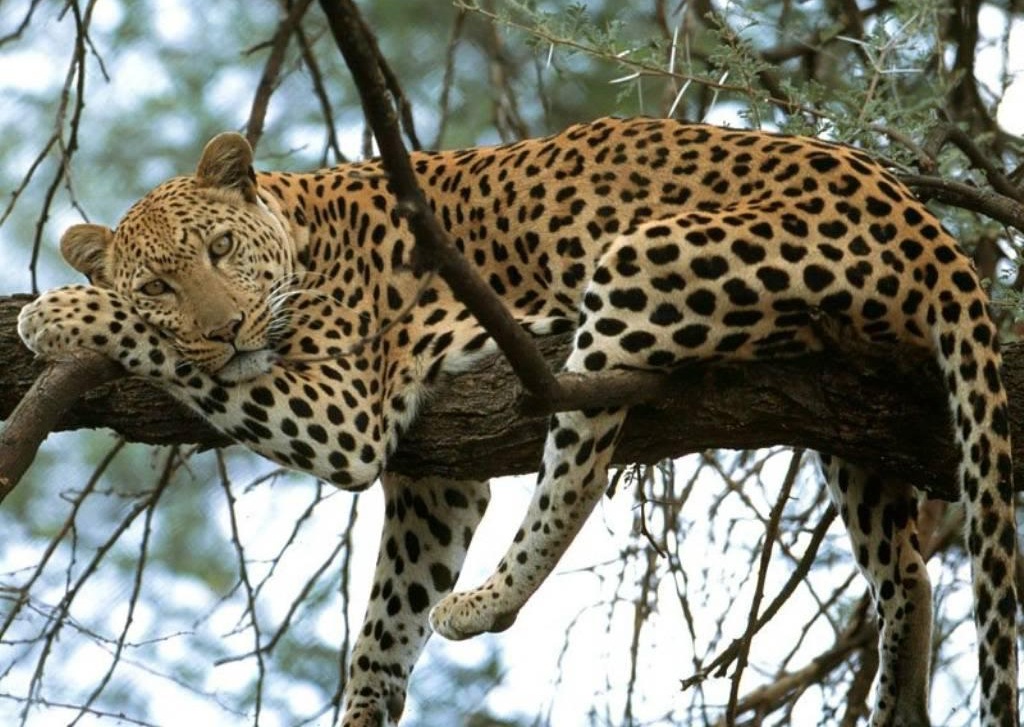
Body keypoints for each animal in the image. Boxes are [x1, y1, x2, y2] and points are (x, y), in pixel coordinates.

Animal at [17, 117, 1018, 726]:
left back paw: (486, 601)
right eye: (160, 283)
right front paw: (366, 706)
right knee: (908, 572)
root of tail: (923, 218)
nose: (225, 329)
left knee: (580, 468)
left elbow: (175, 359)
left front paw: (57, 312)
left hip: (640, 262)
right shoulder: (434, 480)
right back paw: (897, 697)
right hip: (850, 419)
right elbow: (385, 620)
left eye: (221, 249)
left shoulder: (344, 410)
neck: (301, 229)